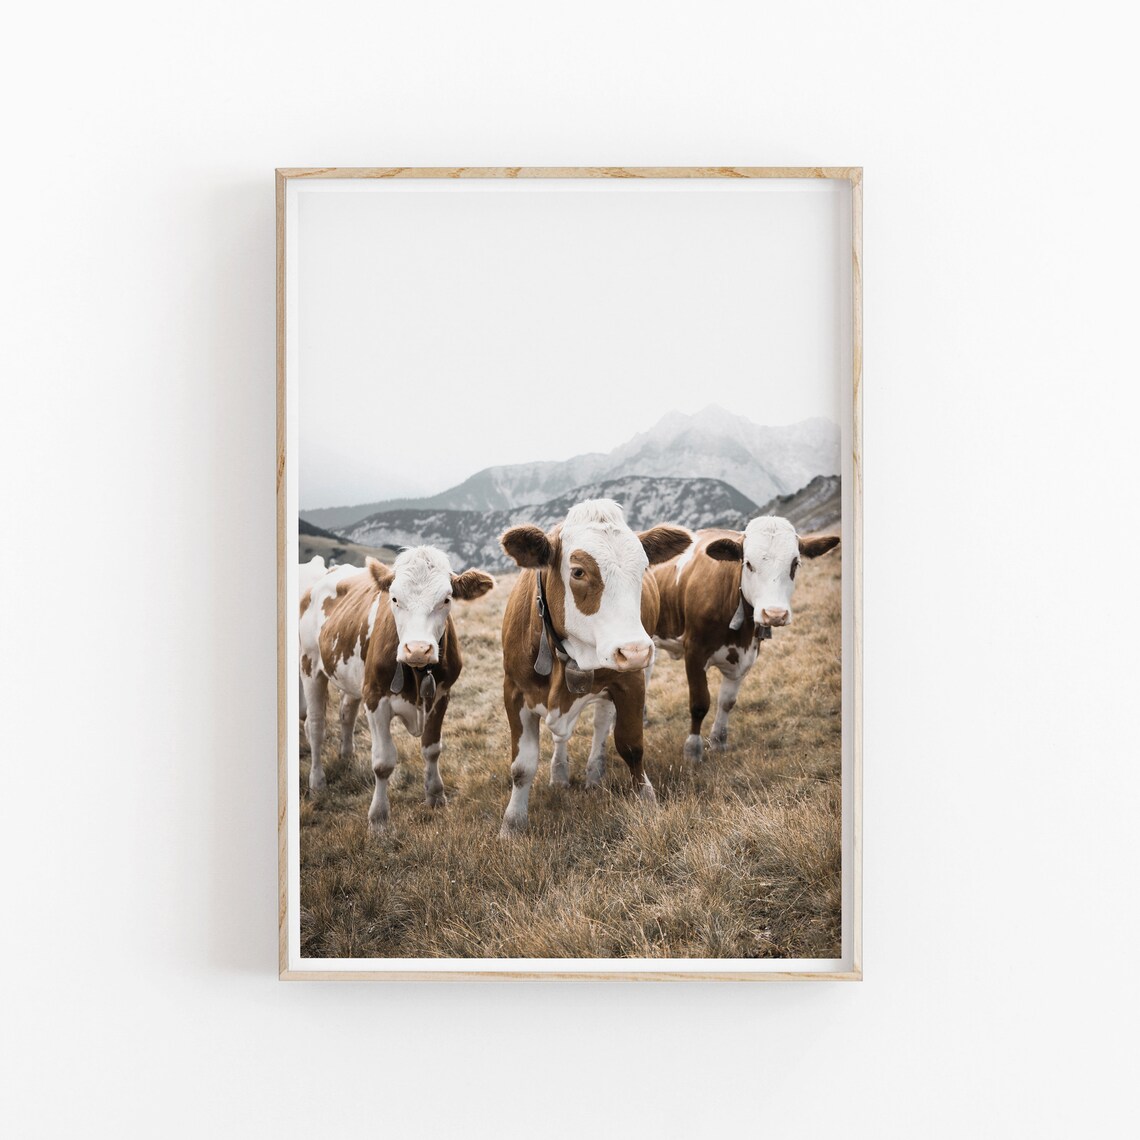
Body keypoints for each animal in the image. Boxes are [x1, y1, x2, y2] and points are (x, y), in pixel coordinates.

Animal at [298, 546, 494, 831]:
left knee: (346, 713)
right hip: (310, 665)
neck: (417, 672)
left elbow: (432, 748)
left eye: (446, 599)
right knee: (315, 727)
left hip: (352, 677)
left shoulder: (441, 697)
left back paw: (346, 757)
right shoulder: (375, 698)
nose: (418, 649)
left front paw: (436, 796)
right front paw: (378, 818)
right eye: (394, 599)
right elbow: (383, 762)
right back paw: (317, 783)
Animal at [497, 499, 691, 835]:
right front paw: (512, 824)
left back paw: (594, 771)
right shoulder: (514, 690)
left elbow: (631, 745)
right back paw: (560, 773)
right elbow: (522, 766)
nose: (635, 651)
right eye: (578, 571)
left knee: (602, 722)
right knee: (562, 737)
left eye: (643, 568)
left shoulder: (631, 681)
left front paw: (647, 800)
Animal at [650, 516, 840, 762]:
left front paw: (719, 741)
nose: (775, 614)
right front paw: (693, 750)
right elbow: (699, 703)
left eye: (795, 564)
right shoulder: (694, 650)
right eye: (748, 564)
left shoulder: (746, 655)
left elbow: (727, 702)